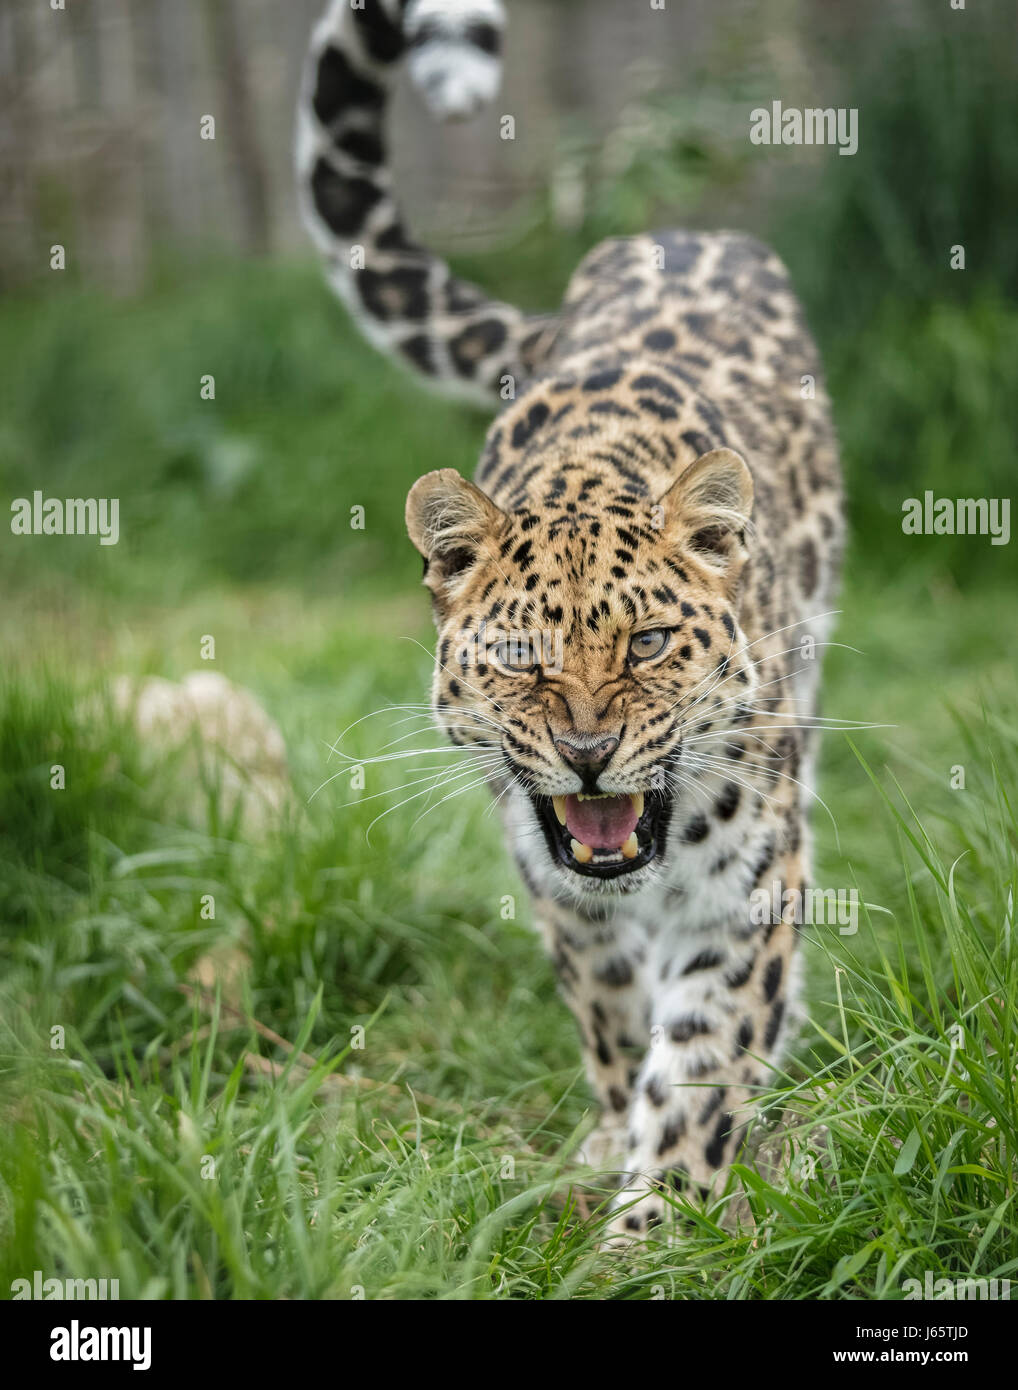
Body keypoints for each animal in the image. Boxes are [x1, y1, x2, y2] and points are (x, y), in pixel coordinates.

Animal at [297, 0, 844, 1238]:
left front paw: (652, 1231)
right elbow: (609, 1010)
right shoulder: (557, 885)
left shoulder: (746, 887)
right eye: (519, 660)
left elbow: (702, 1059)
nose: (589, 752)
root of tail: (672, 233)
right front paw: (610, 1144)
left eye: (648, 642)